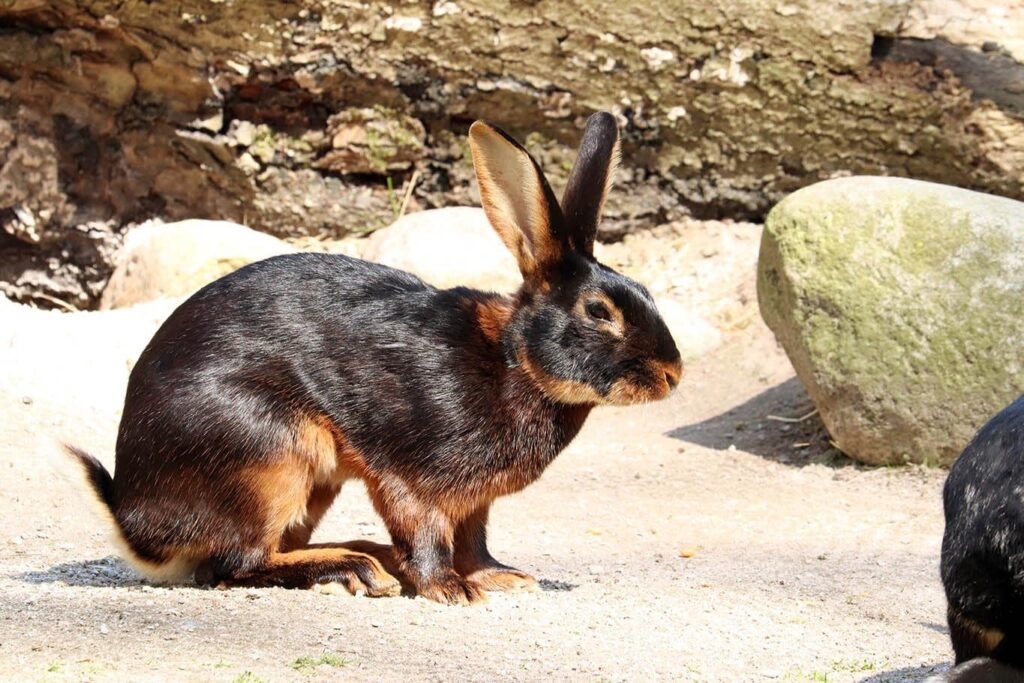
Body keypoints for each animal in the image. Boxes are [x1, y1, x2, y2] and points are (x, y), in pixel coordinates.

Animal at [65, 111, 683, 605]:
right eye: (599, 311)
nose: (672, 374)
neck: (515, 362)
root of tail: (137, 523)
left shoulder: (474, 503)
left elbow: (474, 541)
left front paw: (502, 577)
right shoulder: (411, 478)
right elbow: (428, 535)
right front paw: (451, 591)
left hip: (314, 481)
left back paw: (369, 559)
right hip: (270, 457)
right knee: (236, 564)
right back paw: (355, 569)